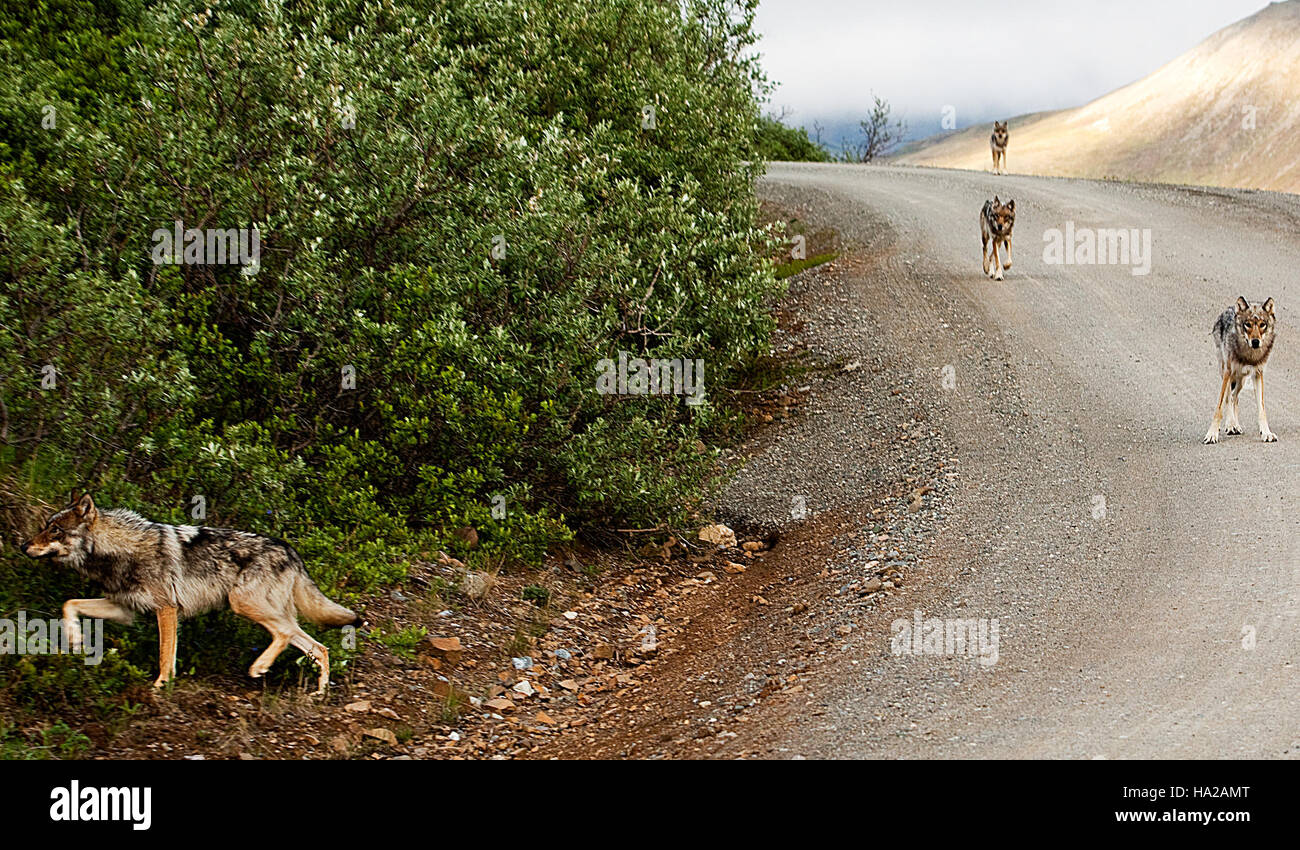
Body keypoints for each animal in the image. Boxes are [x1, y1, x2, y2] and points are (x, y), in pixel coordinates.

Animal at [20, 492, 358, 693]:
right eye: (44, 526)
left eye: (55, 530)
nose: (23, 546)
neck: (117, 551)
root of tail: (290, 549)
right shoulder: (124, 608)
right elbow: (69, 603)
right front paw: (75, 639)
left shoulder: (167, 609)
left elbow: (164, 655)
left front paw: (160, 686)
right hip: (267, 611)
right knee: (319, 648)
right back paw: (319, 692)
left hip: (242, 604)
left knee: (287, 635)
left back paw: (259, 667)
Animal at [1205, 296, 1278, 444]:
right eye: (1247, 324)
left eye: (1262, 324)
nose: (1255, 342)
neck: (1249, 355)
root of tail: (1229, 308)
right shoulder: (1228, 372)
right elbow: (1219, 407)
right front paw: (1212, 434)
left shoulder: (1258, 374)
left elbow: (1262, 409)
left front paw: (1266, 433)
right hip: (1226, 372)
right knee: (1229, 398)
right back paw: (1231, 425)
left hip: (1241, 380)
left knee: (1235, 398)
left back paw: (1235, 425)